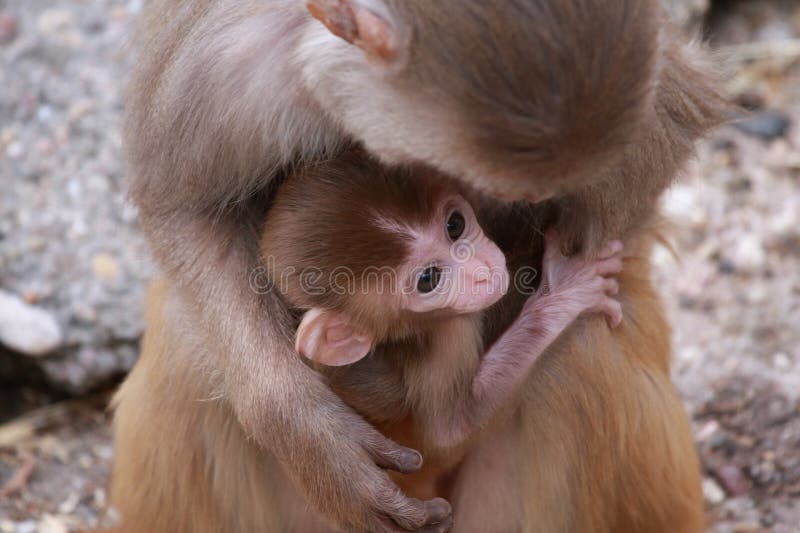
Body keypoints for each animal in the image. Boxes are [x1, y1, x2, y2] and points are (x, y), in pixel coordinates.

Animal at [259, 151, 623, 461]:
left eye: (455, 225)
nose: (483, 271)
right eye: (428, 279)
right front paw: (566, 294)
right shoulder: (448, 338)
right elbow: (450, 431)